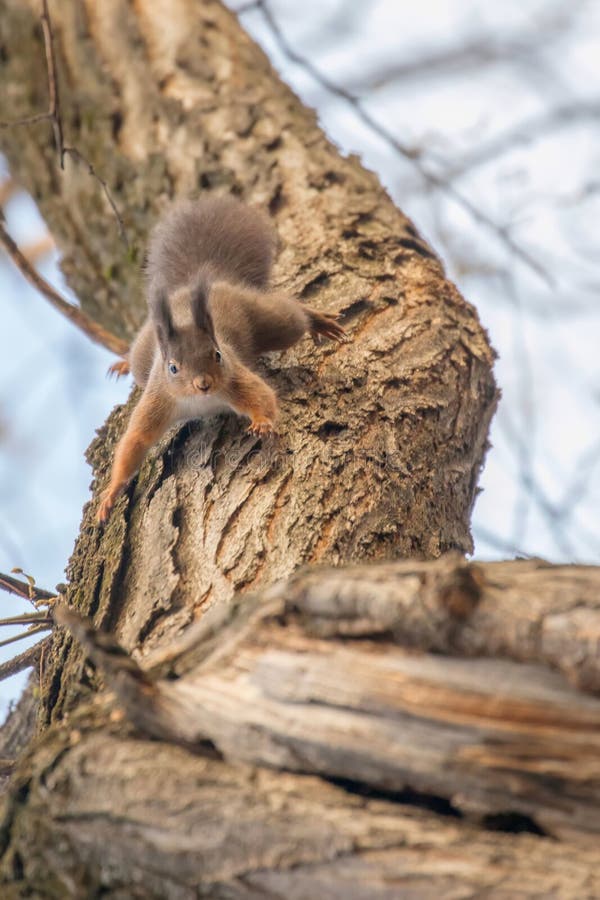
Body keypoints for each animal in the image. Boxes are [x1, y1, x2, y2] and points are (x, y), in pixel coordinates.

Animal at [97, 195, 346, 523]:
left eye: (216, 354)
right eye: (172, 367)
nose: (204, 384)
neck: (200, 401)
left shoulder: (234, 377)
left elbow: (261, 395)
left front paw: (262, 422)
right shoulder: (158, 398)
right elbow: (135, 440)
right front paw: (111, 493)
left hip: (269, 322)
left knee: (292, 315)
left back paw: (317, 320)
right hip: (143, 358)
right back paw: (124, 362)